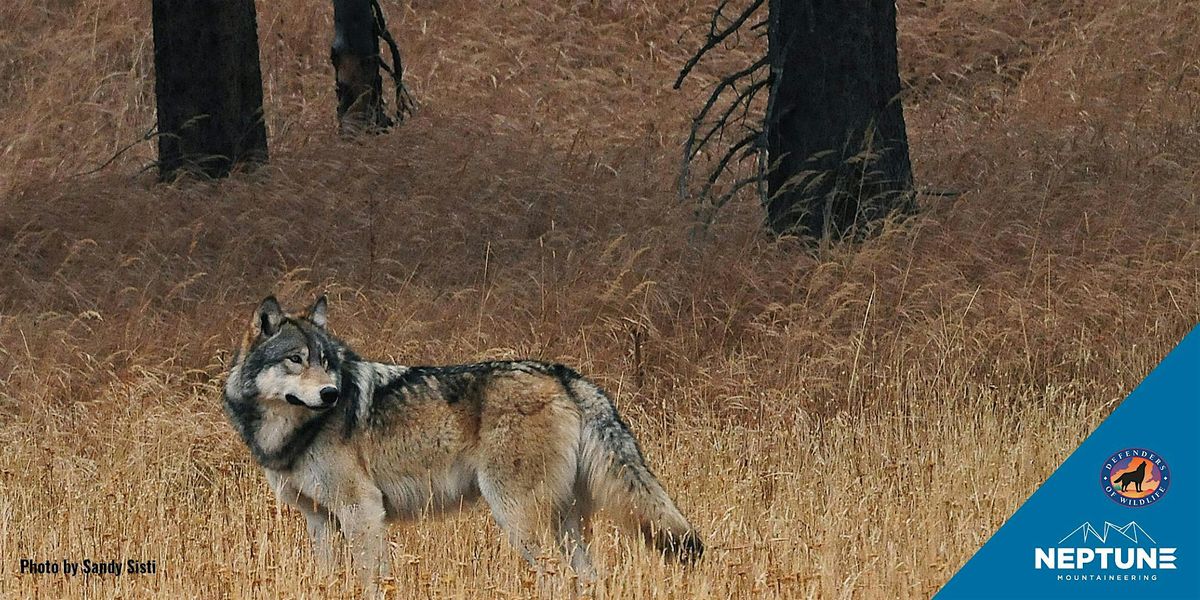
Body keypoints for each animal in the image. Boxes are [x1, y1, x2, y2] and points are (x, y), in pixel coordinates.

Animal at [222, 295, 702, 589]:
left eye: (326, 361)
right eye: (296, 359)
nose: (331, 394)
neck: (293, 433)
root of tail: (566, 376)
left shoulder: (363, 510)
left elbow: (371, 578)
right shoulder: (320, 519)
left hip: (519, 518)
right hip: (564, 524)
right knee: (588, 579)